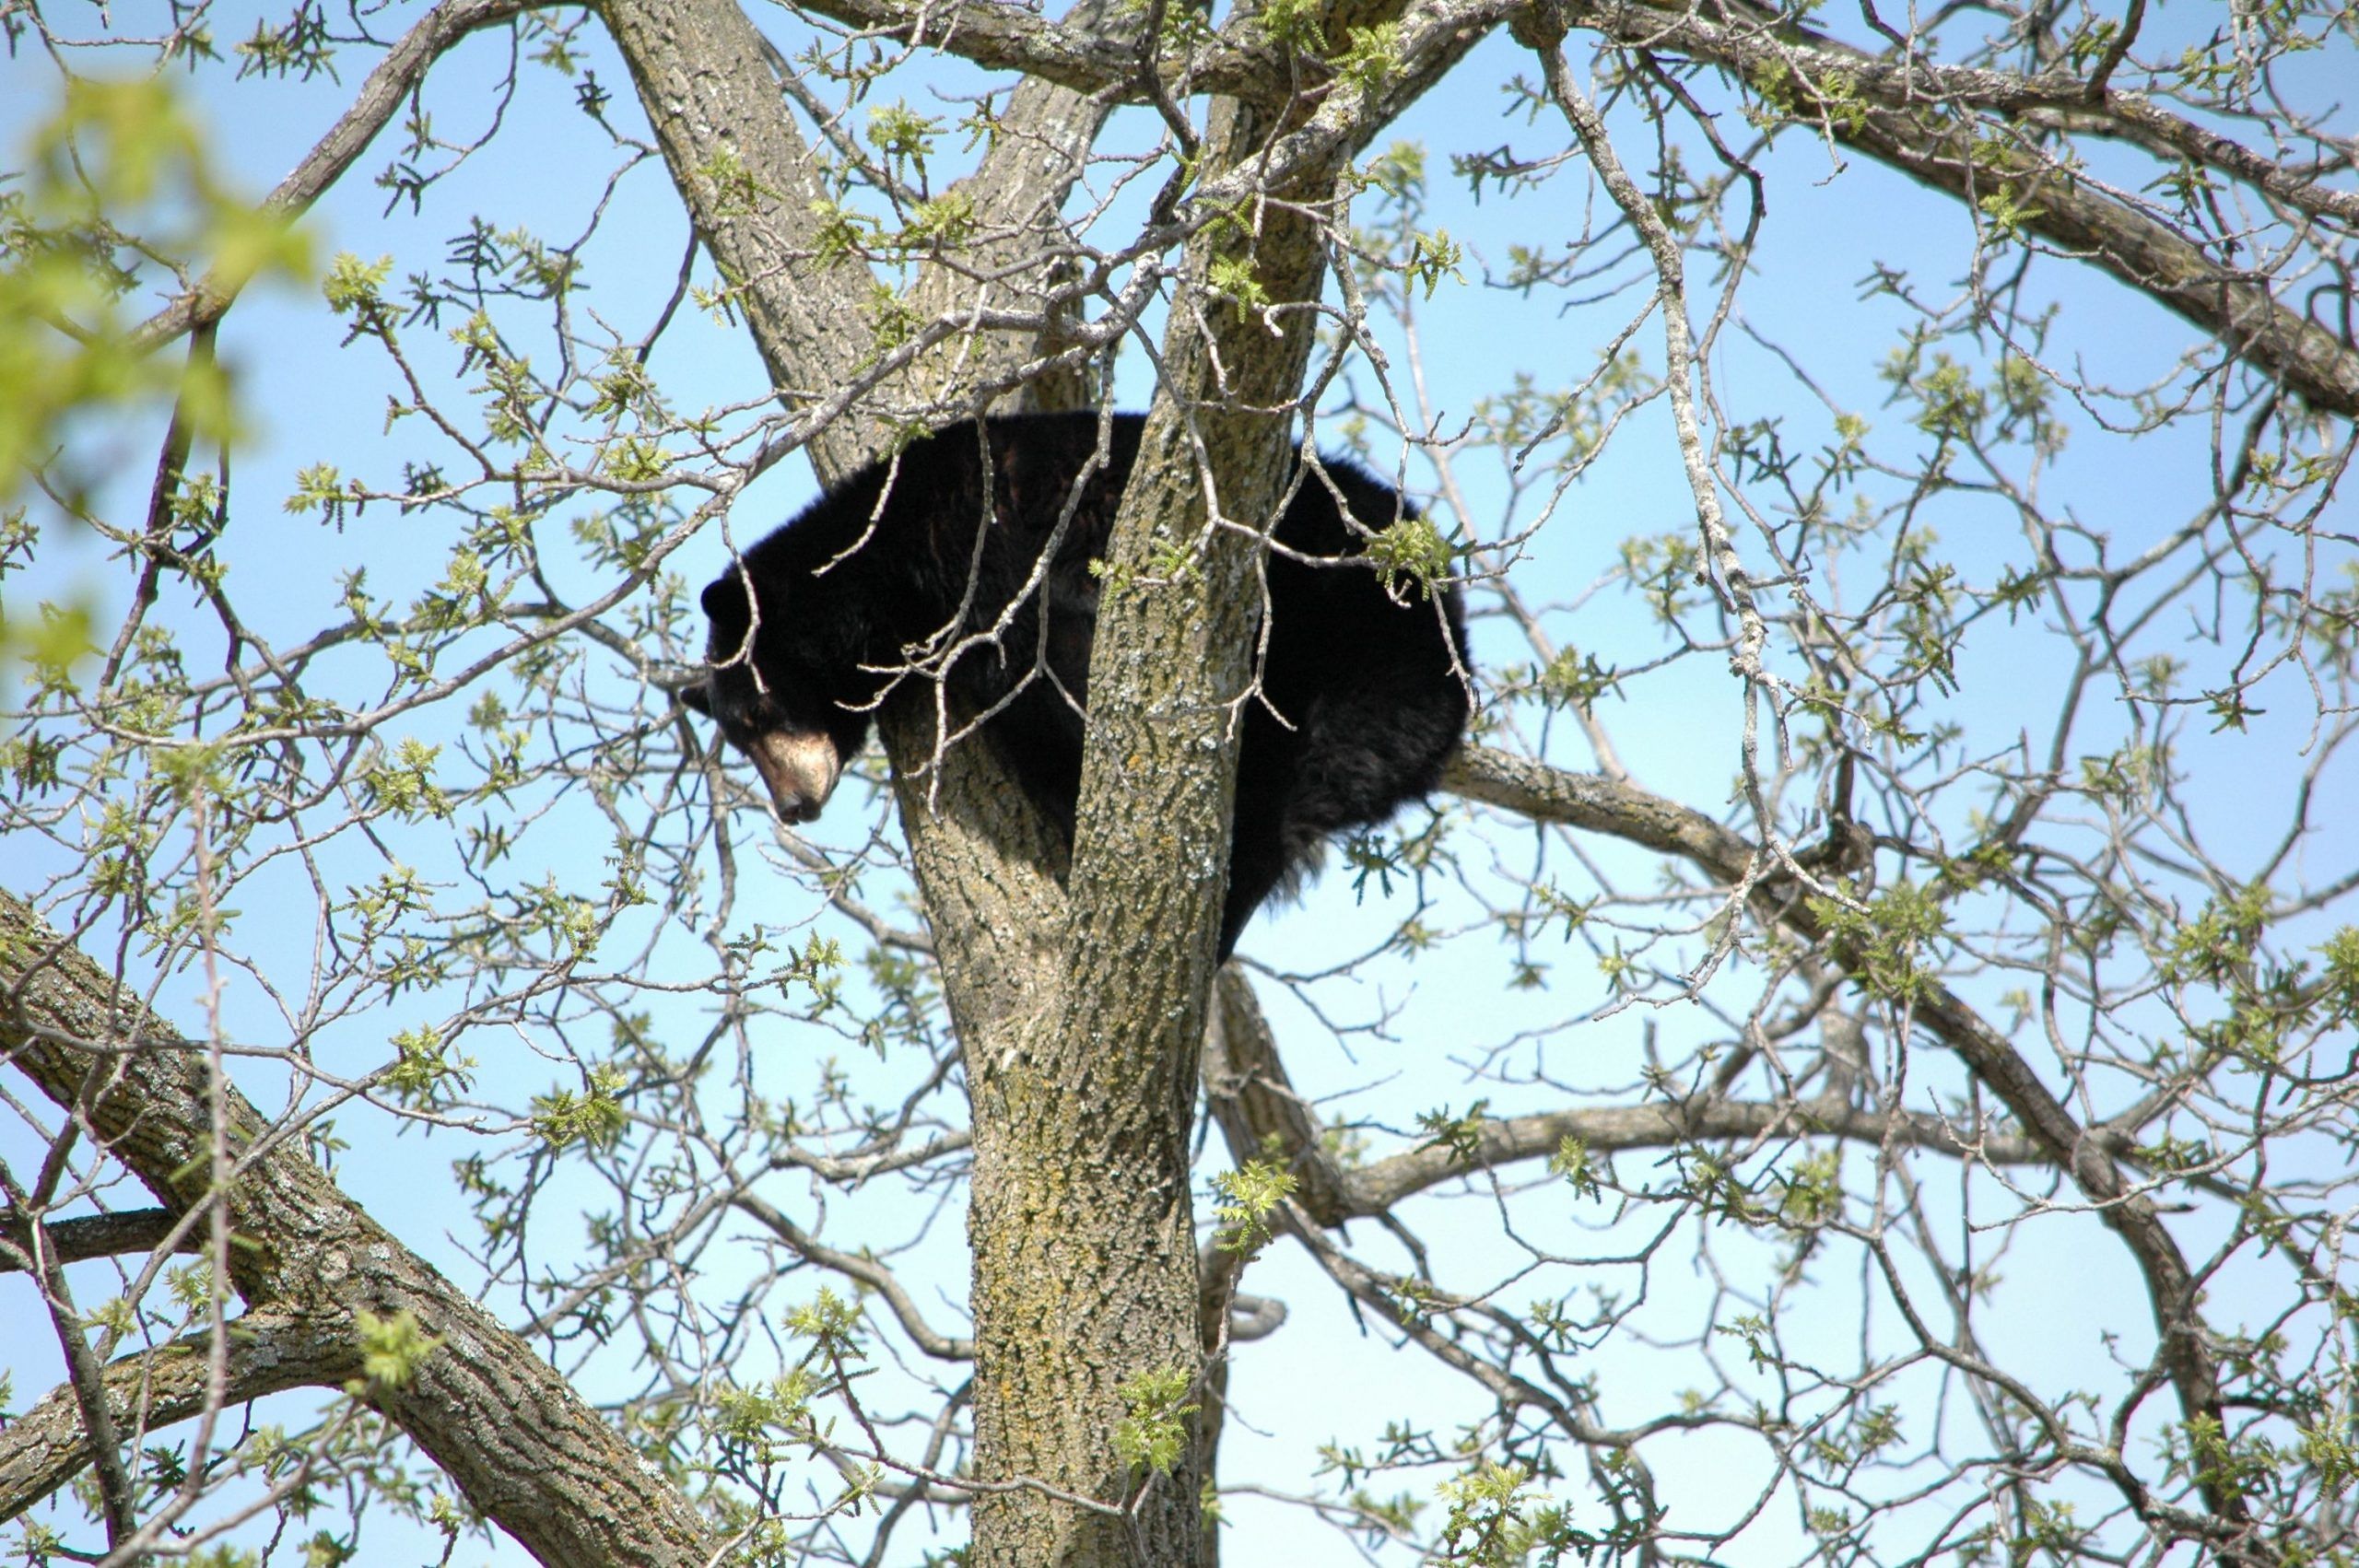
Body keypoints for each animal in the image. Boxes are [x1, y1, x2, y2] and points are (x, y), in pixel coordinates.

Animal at [682, 410, 1469, 959]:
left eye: (757, 713)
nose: (792, 806)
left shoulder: (998, 558)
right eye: (738, 738)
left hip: (1317, 616)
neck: (889, 560)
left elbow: (1047, 672)